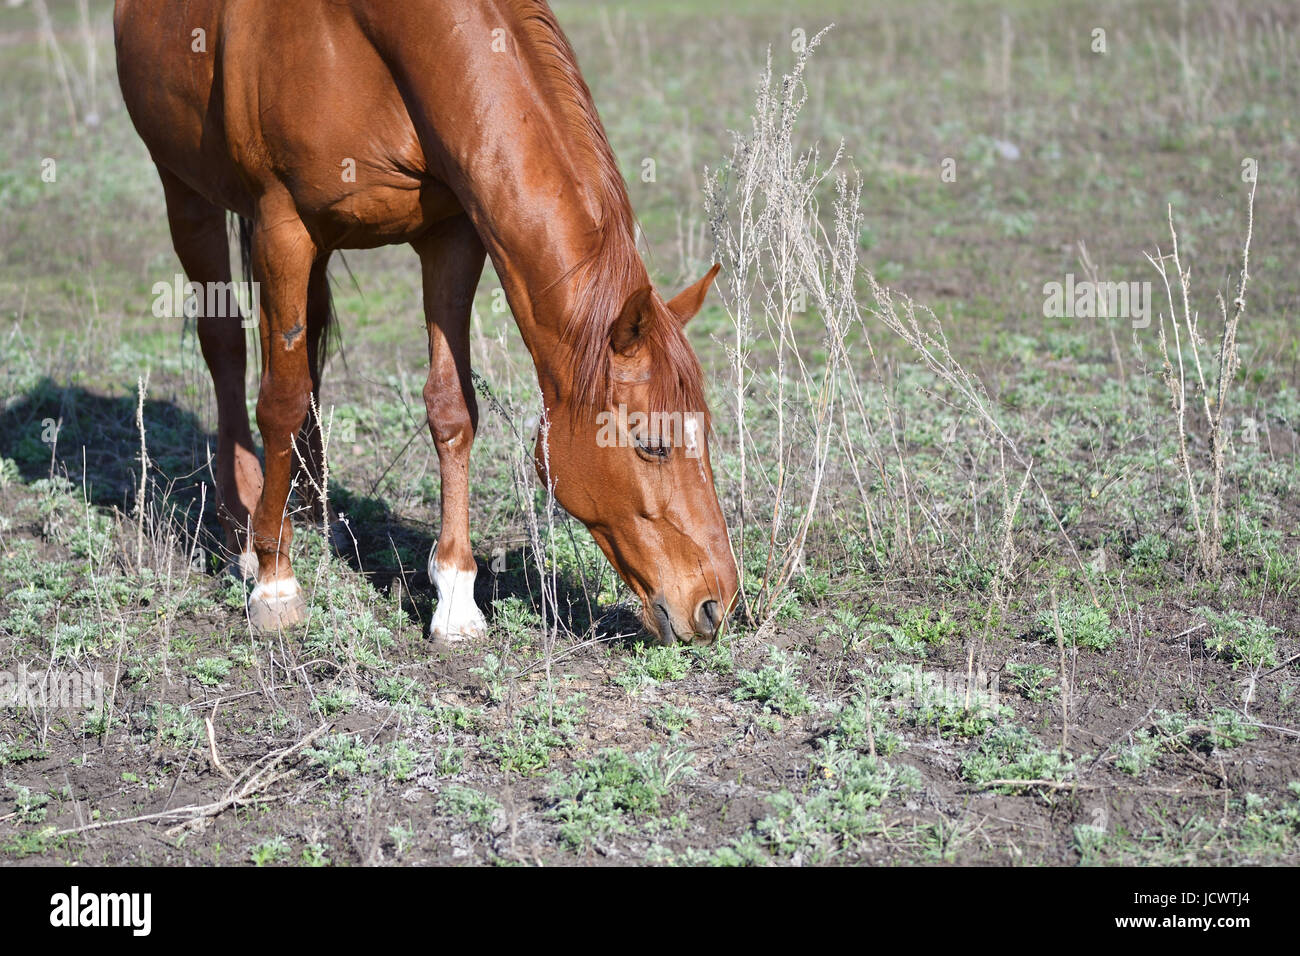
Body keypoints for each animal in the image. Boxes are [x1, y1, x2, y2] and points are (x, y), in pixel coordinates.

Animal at [113, 0, 740, 644]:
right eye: (652, 445)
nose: (716, 604)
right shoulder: (280, 226)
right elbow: (279, 401)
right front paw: (275, 584)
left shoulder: (452, 232)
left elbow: (450, 408)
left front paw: (456, 599)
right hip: (186, 190)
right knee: (226, 347)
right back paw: (244, 529)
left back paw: (310, 508)